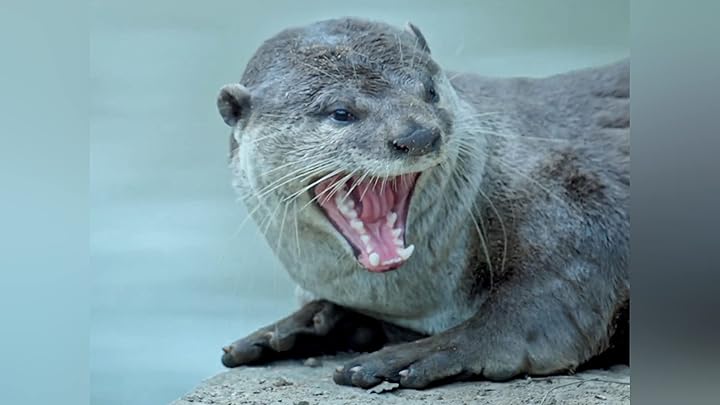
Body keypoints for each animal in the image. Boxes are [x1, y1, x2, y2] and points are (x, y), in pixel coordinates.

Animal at [216, 18, 629, 389]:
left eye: (430, 91)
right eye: (340, 113)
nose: (417, 134)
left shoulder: (574, 202)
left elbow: (536, 311)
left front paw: (411, 357)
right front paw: (290, 328)